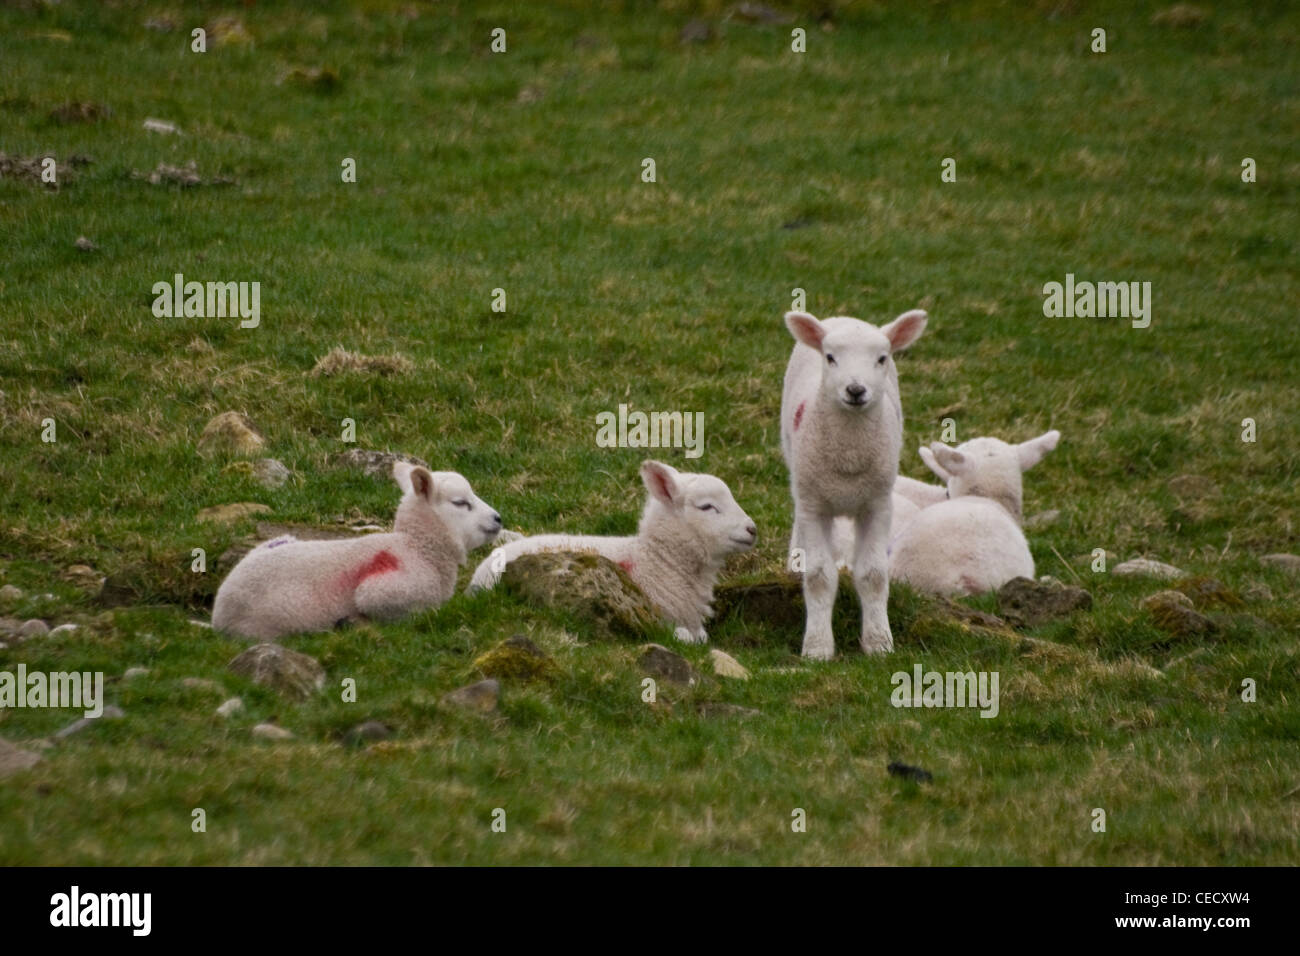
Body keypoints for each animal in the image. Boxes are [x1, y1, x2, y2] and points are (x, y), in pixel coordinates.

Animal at [781, 308, 928, 658]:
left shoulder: (877, 504)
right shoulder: (814, 506)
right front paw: (817, 647)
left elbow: (873, 576)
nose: (856, 390)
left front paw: (879, 643)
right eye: (830, 357)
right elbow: (819, 577)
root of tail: (843, 316)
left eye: (882, 358)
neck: (849, 458)